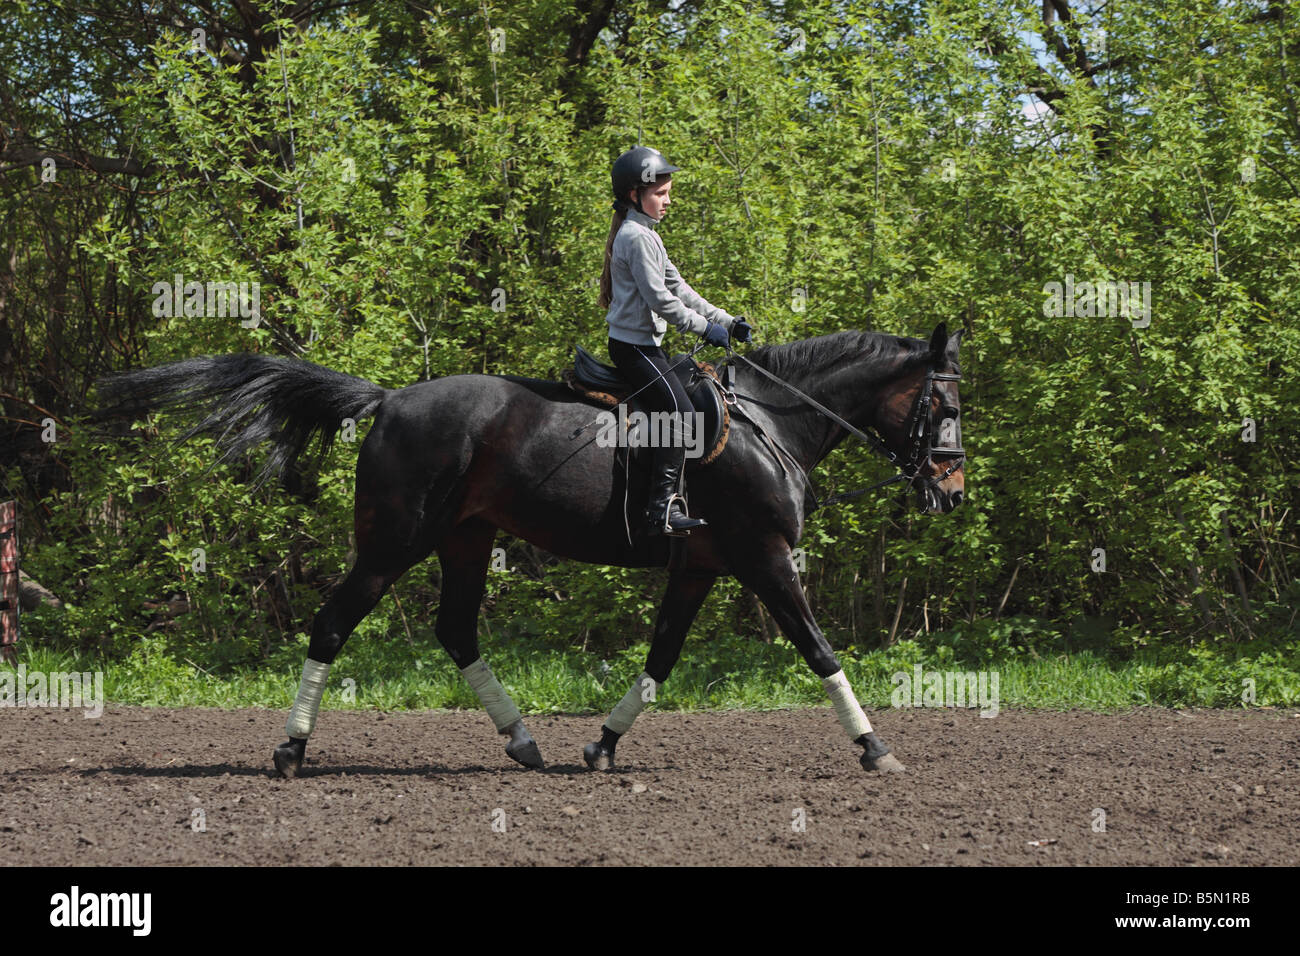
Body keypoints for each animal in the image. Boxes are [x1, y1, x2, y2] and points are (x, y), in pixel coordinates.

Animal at [94, 322, 965, 776]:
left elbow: (660, 659)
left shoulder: (701, 569)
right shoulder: (764, 559)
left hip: (465, 539)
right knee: (332, 625)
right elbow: (820, 651)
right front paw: (875, 748)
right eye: (944, 404)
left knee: (455, 630)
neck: (770, 426)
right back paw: (289, 749)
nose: (952, 490)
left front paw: (602, 745)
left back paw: (523, 741)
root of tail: (388, 400)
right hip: (392, 544)